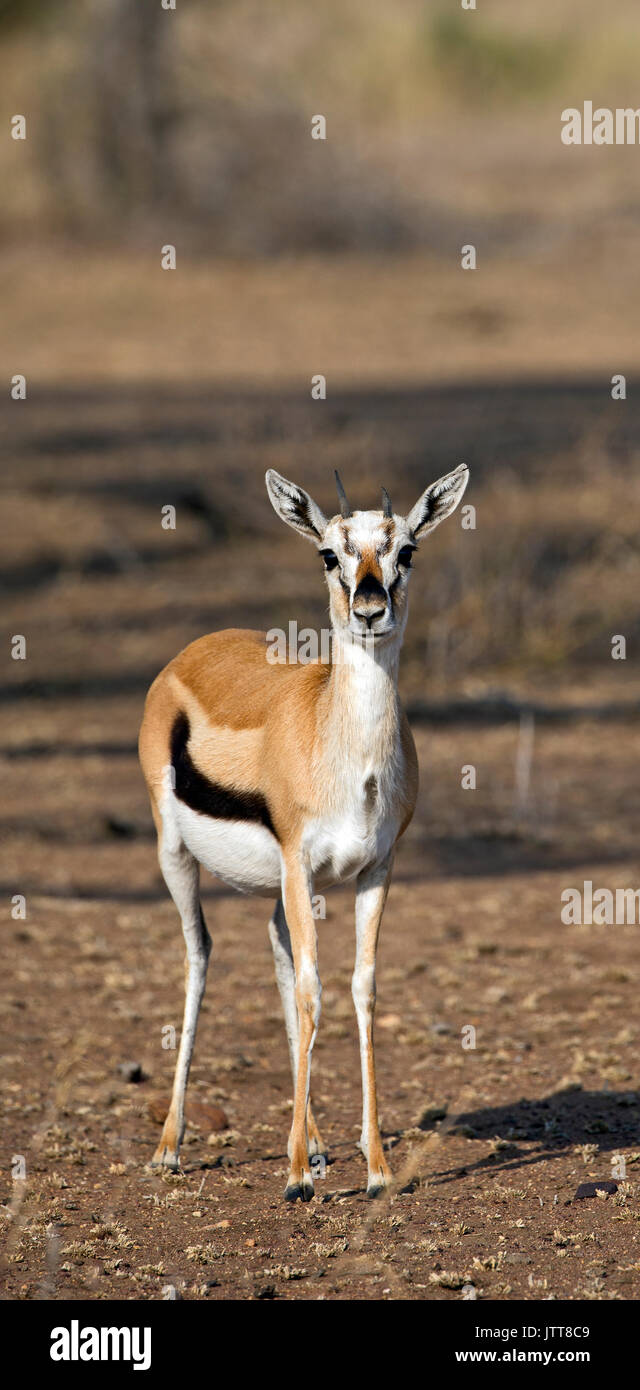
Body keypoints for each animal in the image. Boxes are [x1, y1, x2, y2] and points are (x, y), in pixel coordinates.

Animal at [138, 463, 469, 1201]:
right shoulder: (297, 861)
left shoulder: (376, 870)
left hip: (282, 890)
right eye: (328, 553)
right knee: (201, 954)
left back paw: (315, 1143)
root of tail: (191, 653)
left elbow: (360, 988)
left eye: (407, 550)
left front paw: (376, 1169)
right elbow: (314, 989)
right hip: (178, 856)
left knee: (278, 955)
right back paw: (172, 1147)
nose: (370, 610)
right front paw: (292, 1178)